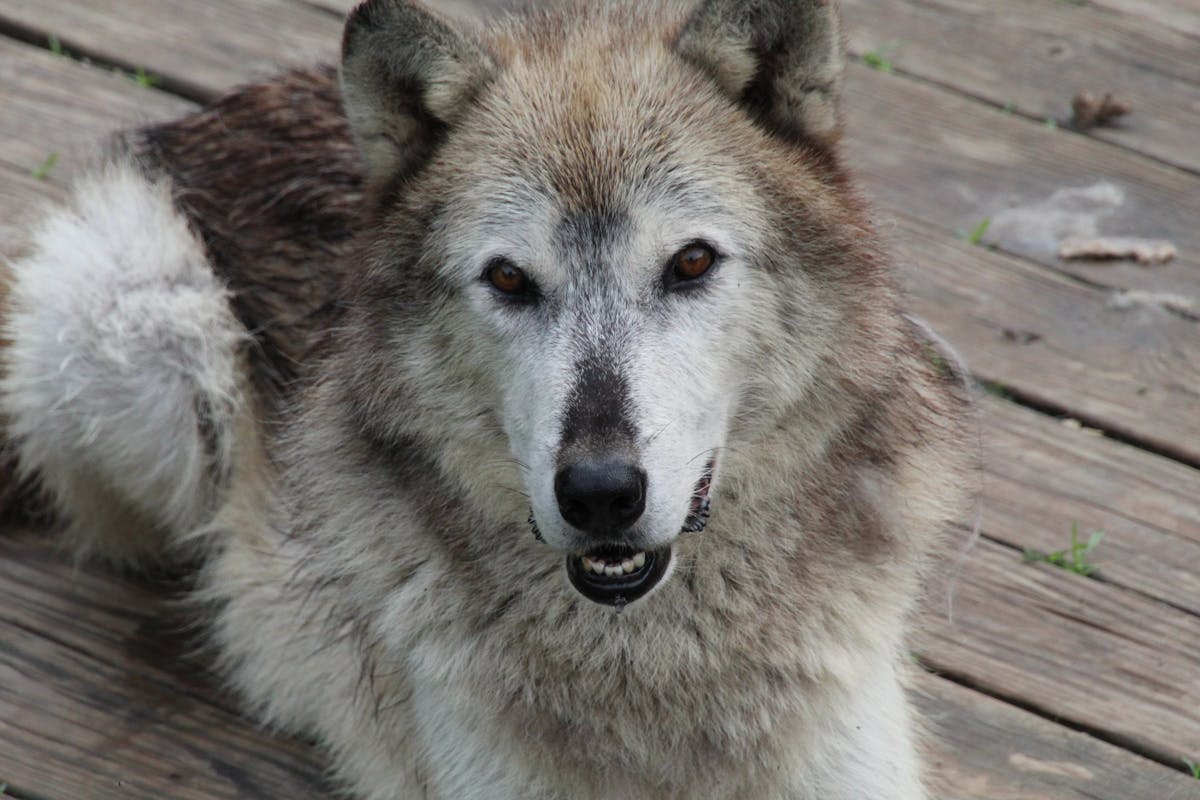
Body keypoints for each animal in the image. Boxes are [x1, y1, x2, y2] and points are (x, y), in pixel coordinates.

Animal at [0, 1, 972, 797]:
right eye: (509, 279)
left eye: (691, 262)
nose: (600, 493)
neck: (651, 663)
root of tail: (229, 100)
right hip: (145, 326)